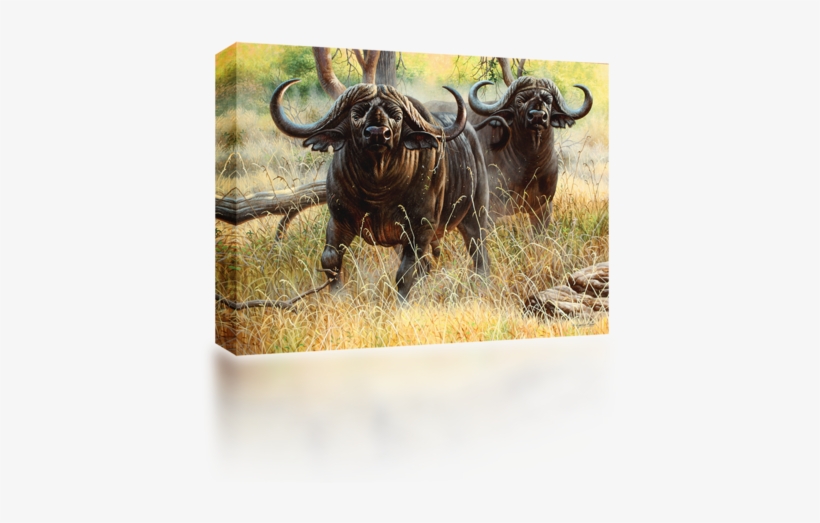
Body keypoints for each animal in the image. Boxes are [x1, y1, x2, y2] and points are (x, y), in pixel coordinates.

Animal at [269, 80, 491, 301]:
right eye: (356, 115)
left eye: (397, 117)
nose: (377, 134)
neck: (377, 191)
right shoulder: (339, 220)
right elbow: (330, 259)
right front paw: (338, 296)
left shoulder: (421, 229)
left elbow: (406, 272)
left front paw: (402, 303)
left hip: (475, 212)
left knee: (478, 251)